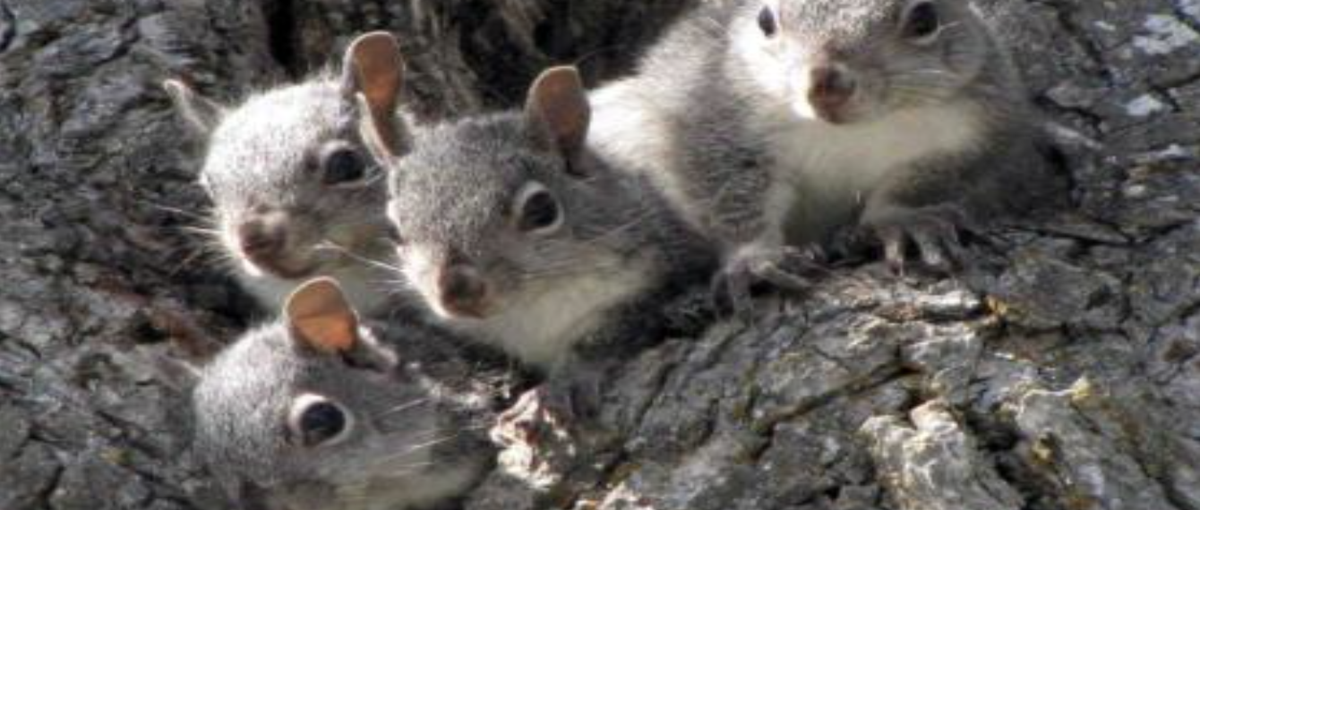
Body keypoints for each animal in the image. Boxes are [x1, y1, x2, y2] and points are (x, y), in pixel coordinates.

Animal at [350, 34, 718, 419]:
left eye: (542, 211)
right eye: (394, 230)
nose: (456, 290)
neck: (528, 310)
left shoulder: (654, 272)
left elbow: (612, 334)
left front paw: (570, 380)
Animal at [591, 0, 1065, 307]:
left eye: (925, 18)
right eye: (765, 19)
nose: (825, 83)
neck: (847, 132)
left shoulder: (976, 128)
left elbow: (922, 183)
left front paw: (901, 220)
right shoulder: (707, 115)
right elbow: (724, 191)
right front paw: (757, 258)